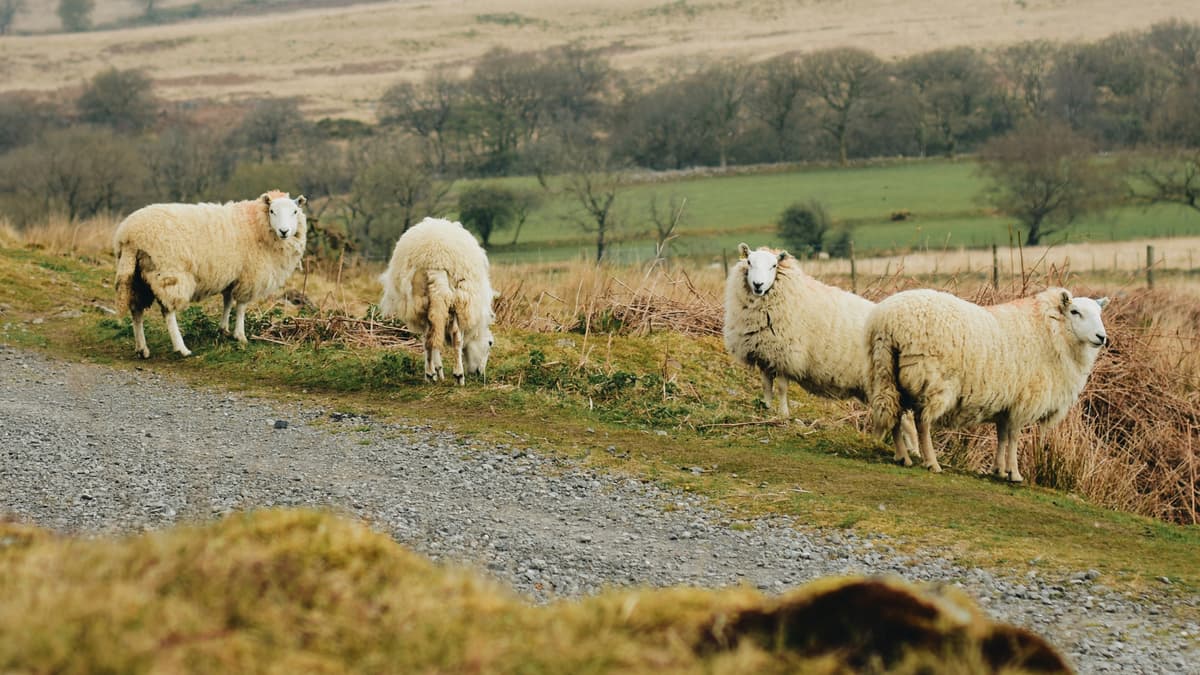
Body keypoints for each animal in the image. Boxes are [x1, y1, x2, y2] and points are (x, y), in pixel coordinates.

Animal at [113, 191, 307, 358]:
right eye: (272, 211)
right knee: (168, 312)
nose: (284, 231)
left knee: (136, 311)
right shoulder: (249, 275)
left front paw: (224, 330)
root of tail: (129, 236)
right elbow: (241, 306)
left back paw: (142, 349)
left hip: (138, 277)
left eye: (295, 211)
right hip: (169, 273)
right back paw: (181, 348)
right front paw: (240, 335)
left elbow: (227, 301)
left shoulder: (233, 275)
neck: (255, 224)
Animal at [377, 217, 496, 385]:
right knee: (455, 336)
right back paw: (458, 375)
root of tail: (435, 257)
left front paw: (437, 369)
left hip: (421, 299)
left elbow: (433, 338)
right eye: (490, 343)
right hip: (456, 298)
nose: (481, 374)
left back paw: (429, 374)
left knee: (428, 336)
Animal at [723, 243, 917, 462]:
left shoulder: (786, 354)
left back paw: (913, 452)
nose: (758, 285)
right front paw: (767, 410)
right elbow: (766, 386)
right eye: (749, 262)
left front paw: (783, 415)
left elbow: (781, 388)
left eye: (774, 265)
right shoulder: (766, 355)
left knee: (908, 420)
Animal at [866, 287, 1109, 482]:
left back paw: (903, 457)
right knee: (922, 422)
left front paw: (999, 470)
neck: (1051, 332)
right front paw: (1014, 474)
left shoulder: (1006, 403)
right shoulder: (1023, 400)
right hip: (933, 380)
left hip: (886, 373)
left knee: (895, 415)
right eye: (1075, 312)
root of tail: (887, 322)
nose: (1102, 337)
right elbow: (1014, 437)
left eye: (1099, 314)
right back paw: (931, 462)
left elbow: (1002, 436)